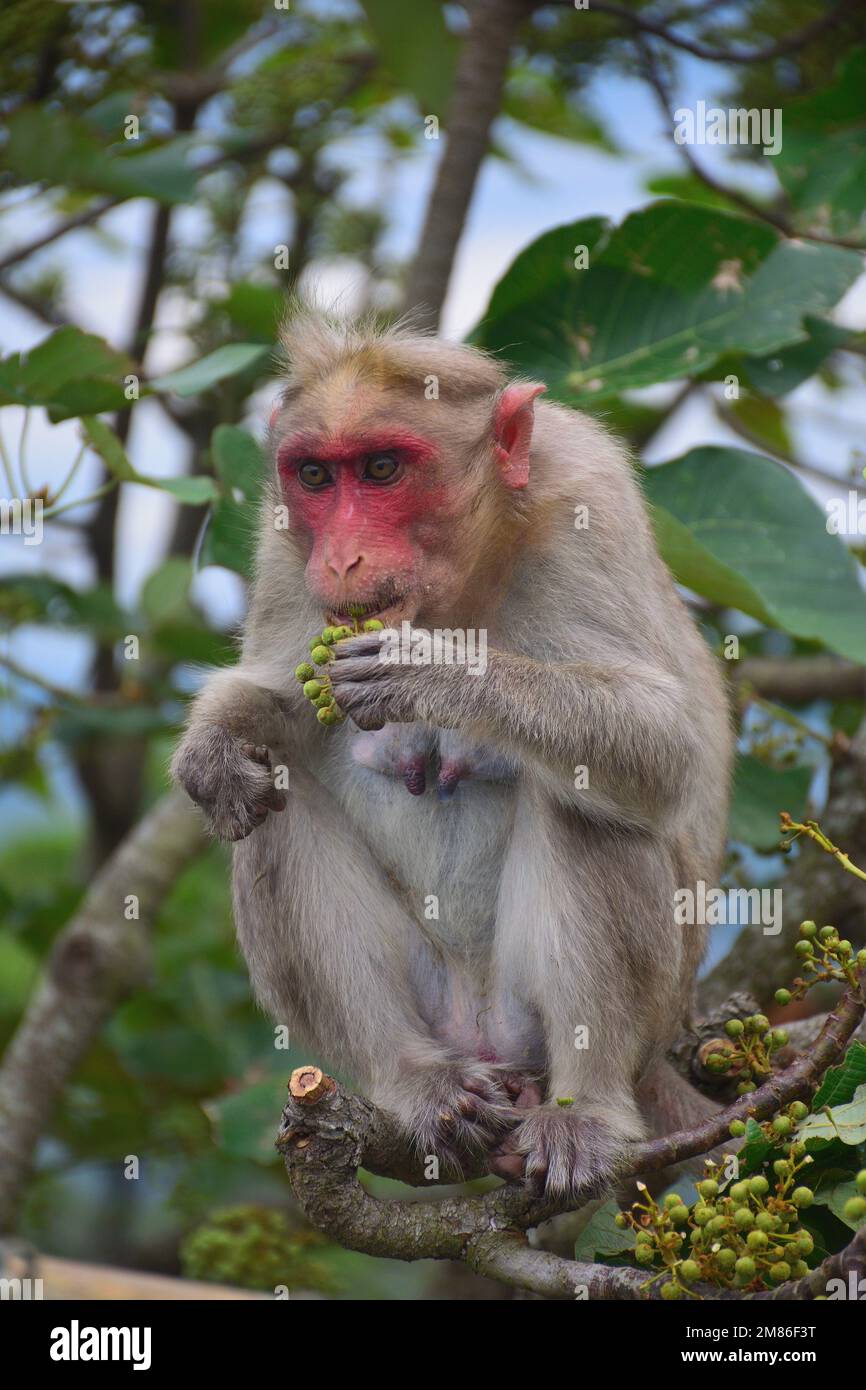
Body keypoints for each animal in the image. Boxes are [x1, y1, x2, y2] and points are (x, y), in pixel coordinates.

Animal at [172, 311, 733, 1200]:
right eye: (315, 478)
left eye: (382, 468)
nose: (341, 557)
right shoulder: (282, 543)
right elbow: (282, 711)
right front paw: (213, 746)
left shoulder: (591, 498)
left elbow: (663, 743)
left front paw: (431, 671)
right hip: (435, 1008)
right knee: (270, 810)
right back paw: (415, 1080)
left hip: (583, 1017)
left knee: (586, 802)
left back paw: (589, 1108)